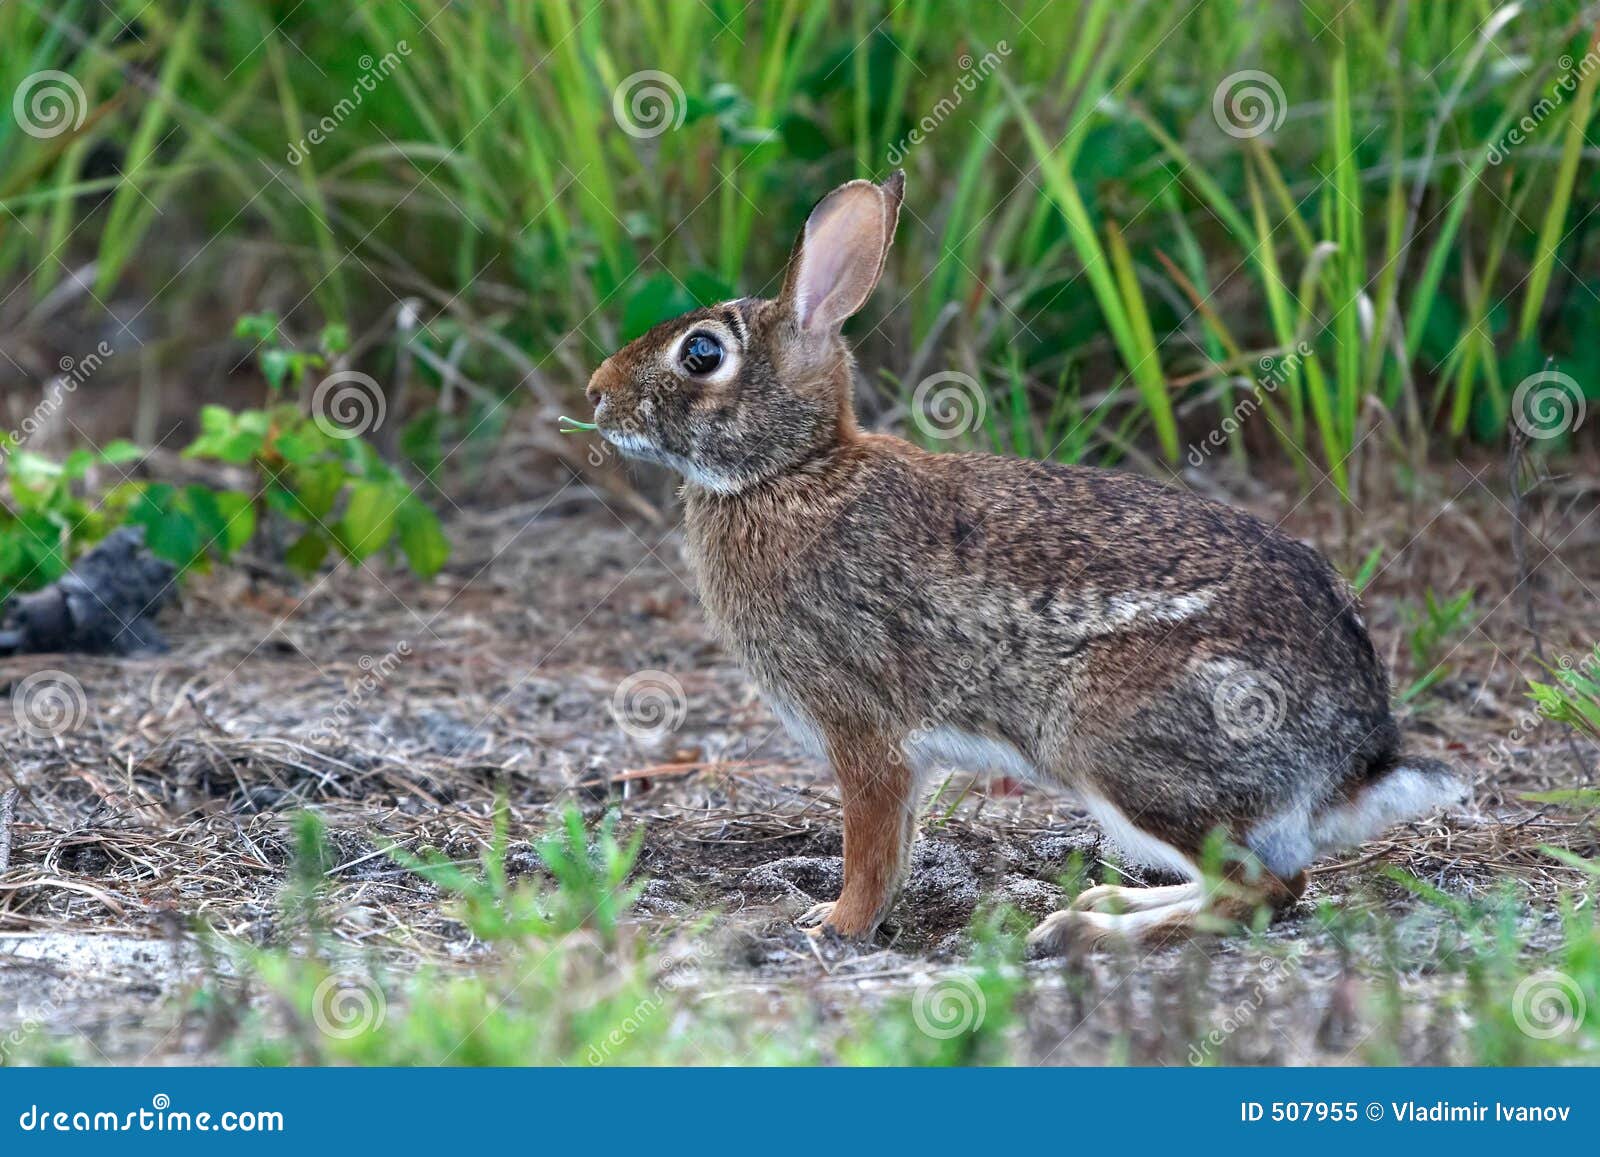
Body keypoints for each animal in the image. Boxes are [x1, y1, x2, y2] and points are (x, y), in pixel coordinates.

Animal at [583, 171, 1466, 951]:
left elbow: (871, 847)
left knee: (1265, 891)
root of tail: (1357, 761)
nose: (595, 392)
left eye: (701, 354)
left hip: (1114, 742)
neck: (791, 471)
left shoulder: (863, 727)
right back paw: (1109, 899)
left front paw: (833, 925)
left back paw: (1082, 929)